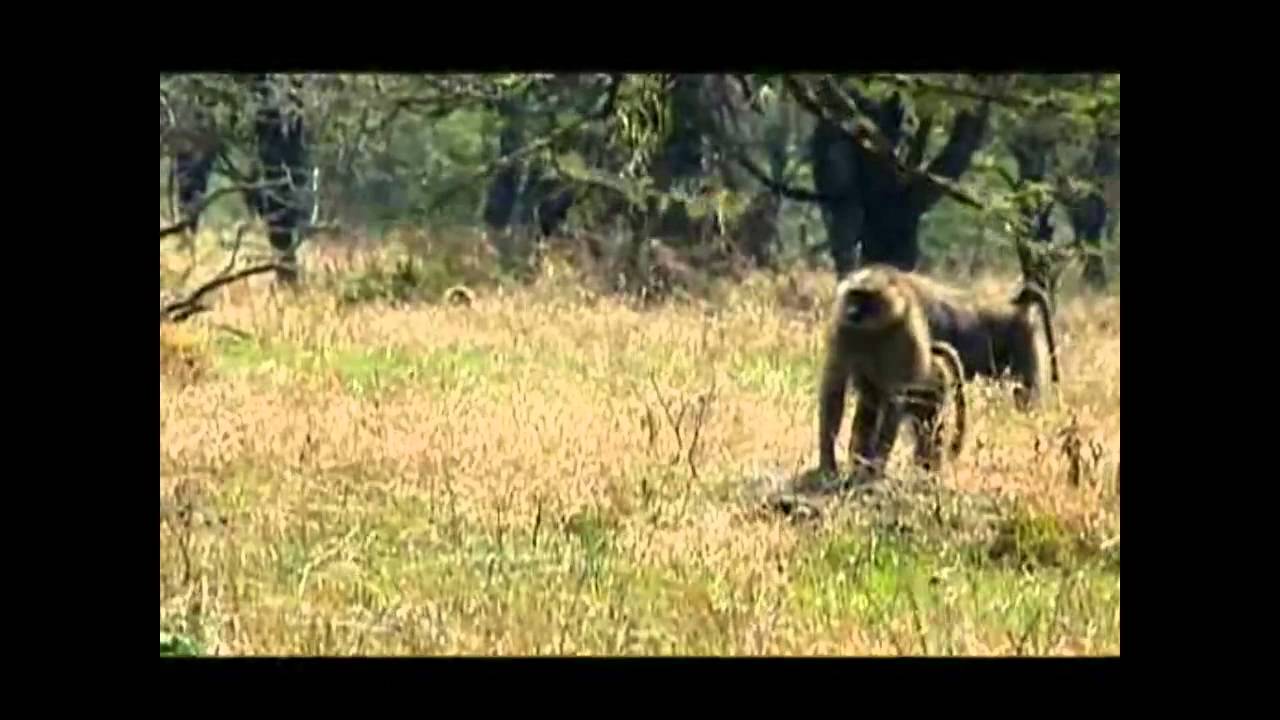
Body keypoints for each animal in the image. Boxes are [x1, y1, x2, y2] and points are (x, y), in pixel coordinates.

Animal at [817, 266, 968, 485]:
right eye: (854, 295)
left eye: (866, 297)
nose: (851, 312)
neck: (874, 328)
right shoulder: (843, 329)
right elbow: (834, 390)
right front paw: (827, 466)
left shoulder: (904, 335)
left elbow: (893, 401)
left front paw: (874, 469)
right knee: (868, 412)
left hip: (935, 389)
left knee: (930, 432)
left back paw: (926, 473)